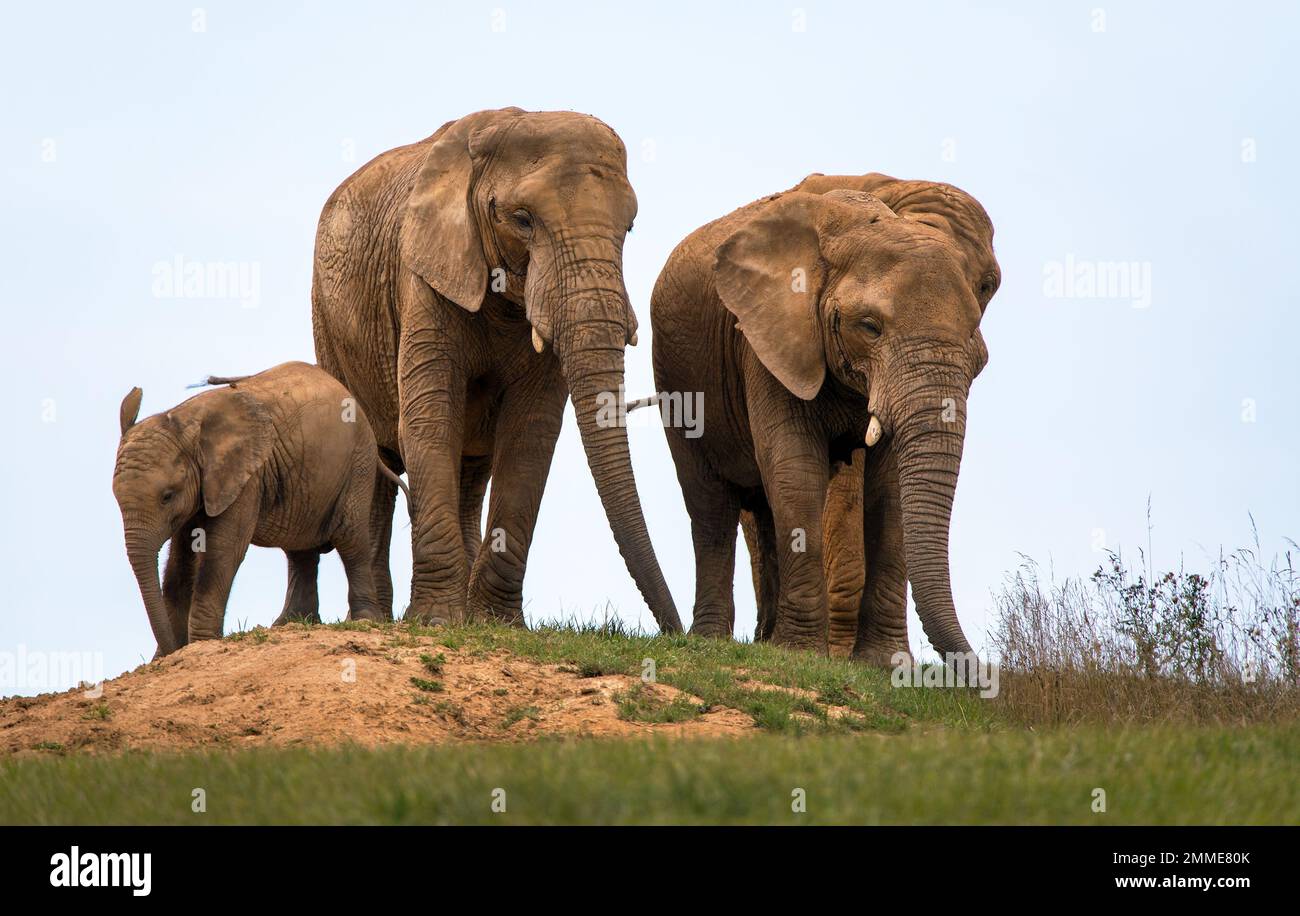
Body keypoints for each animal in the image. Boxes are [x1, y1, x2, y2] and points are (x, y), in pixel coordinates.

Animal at [112, 361, 394, 657]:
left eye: (167, 496)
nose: (170, 649)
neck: (182, 417)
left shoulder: (246, 478)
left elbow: (222, 550)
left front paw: (202, 643)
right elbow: (180, 560)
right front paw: (167, 655)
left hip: (358, 462)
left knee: (349, 538)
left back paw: (365, 620)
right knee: (300, 548)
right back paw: (291, 623)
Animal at [311, 107, 681, 632]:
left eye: (629, 227)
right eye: (523, 220)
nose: (677, 631)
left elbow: (530, 433)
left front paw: (493, 623)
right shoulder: (422, 276)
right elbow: (430, 417)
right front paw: (436, 623)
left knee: (471, 471)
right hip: (328, 323)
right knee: (373, 455)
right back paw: (374, 620)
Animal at [651, 173, 999, 658]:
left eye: (987, 291)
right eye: (869, 327)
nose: (977, 668)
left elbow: (890, 488)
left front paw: (885, 664)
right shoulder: (767, 340)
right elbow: (796, 470)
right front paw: (799, 654)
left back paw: (765, 641)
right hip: (678, 377)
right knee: (710, 504)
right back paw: (713, 640)